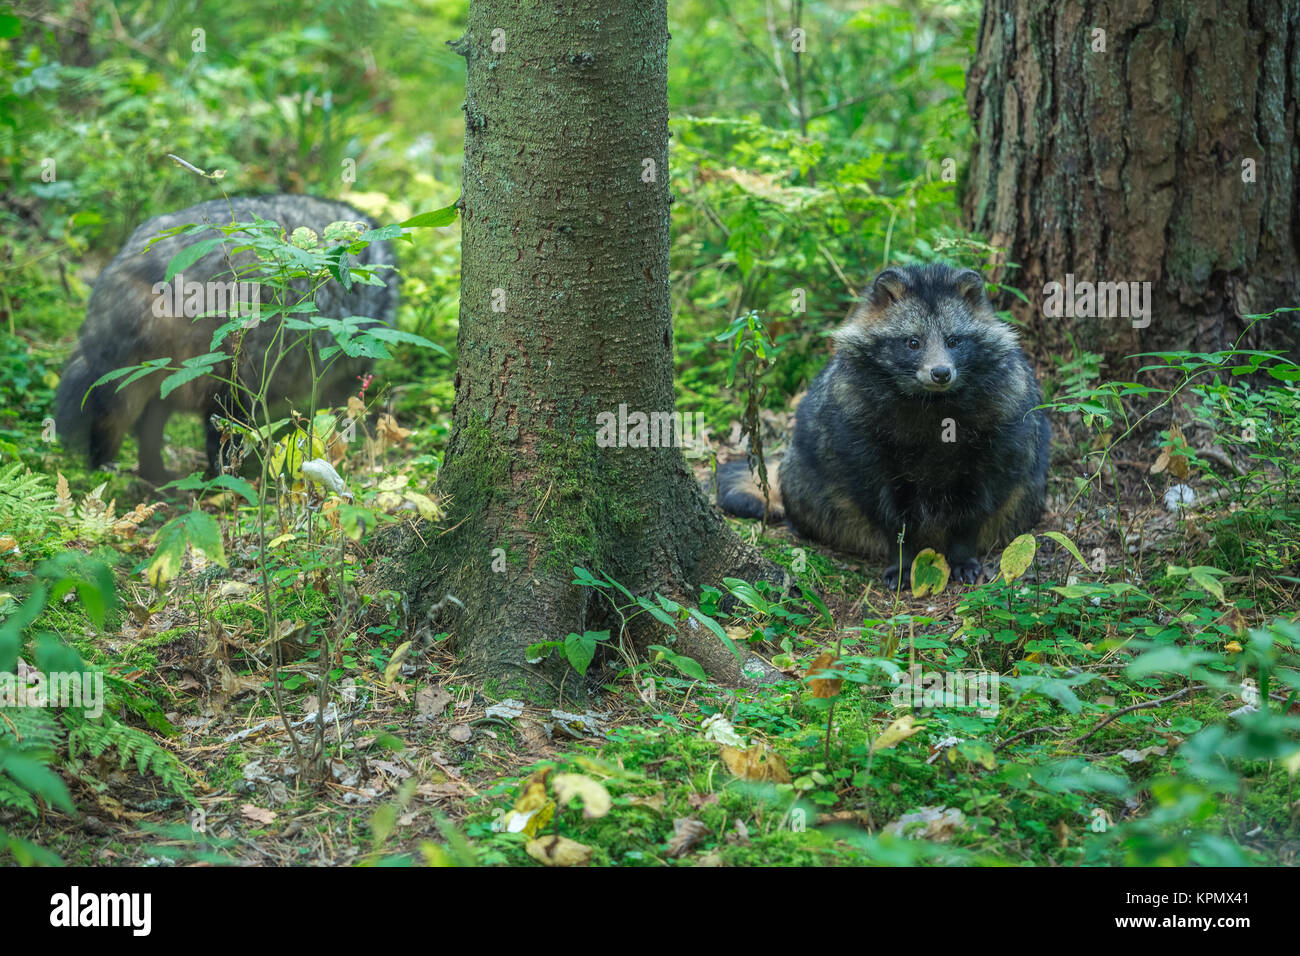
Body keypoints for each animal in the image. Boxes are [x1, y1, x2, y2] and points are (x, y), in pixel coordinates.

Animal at [55, 195, 398, 482]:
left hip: (155, 366)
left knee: (138, 417)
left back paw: (151, 470)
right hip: (229, 361)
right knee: (223, 426)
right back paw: (228, 477)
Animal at [718, 263, 1050, 586]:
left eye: (953, 341)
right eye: (913, 342)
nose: (941, 373)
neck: (931, 400)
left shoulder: (1001, 421)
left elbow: (979, 501)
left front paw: (962, 553)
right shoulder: (856, 424)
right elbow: (881, 503)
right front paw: (901, 557)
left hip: (1029, 492)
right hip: (806, 479)